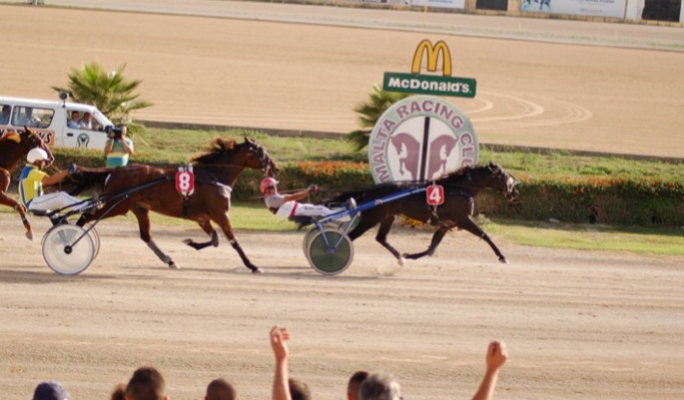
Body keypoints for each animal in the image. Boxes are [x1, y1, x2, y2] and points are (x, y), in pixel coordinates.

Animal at [63, 137, 279, 274]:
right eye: (261, 152)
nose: (276, 169)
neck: (214, 176)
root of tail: (114, 171)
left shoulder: (202, 218)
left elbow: (215, 239)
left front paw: (191, 242)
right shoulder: (220, 214)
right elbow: (233, 241)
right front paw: (253, 266)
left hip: (139, 208)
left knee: (146, 236)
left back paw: (170, 260)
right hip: (117, 205)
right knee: (85, 217)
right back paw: (68, 243)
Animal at [326, 162, 518, 265]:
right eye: (504, 176)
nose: (514, 192)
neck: (459, 189)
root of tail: (369, 192)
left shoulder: (446, 225)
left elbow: (432, 248)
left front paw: (409, 256)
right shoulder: (463, 220)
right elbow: (485, 235)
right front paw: (502, 257)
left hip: (388, 216)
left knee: (381, 238)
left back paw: (400, 258)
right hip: (372, 218)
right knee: (350, 237)